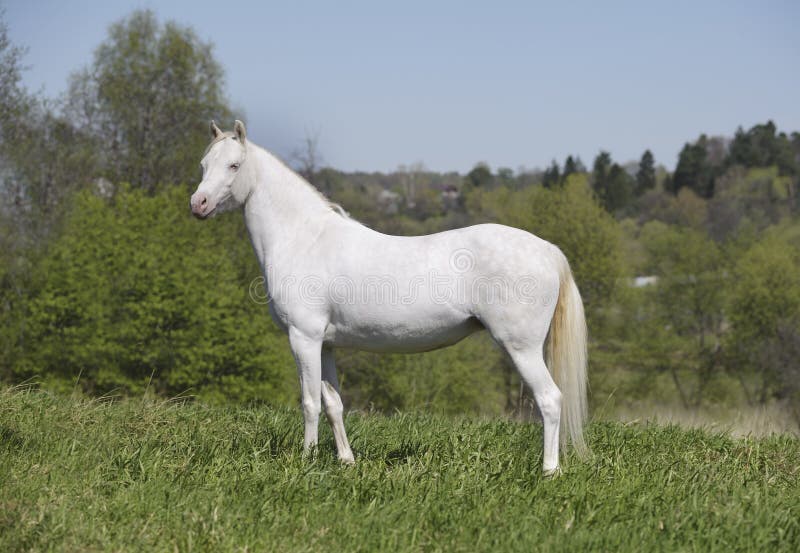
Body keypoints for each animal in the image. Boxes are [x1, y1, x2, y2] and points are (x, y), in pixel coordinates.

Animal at [190, 120, 588, 475]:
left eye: (234, 165)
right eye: (204, 164)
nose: (198, 204)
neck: (305, 238)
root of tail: (548, 250)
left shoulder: (303, 338)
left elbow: (309, 403)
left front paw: (305, 461)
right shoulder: (325, 344)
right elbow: (333, 403)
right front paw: (345, 461)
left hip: (521, 347)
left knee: (550, 400)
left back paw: (548, 470)